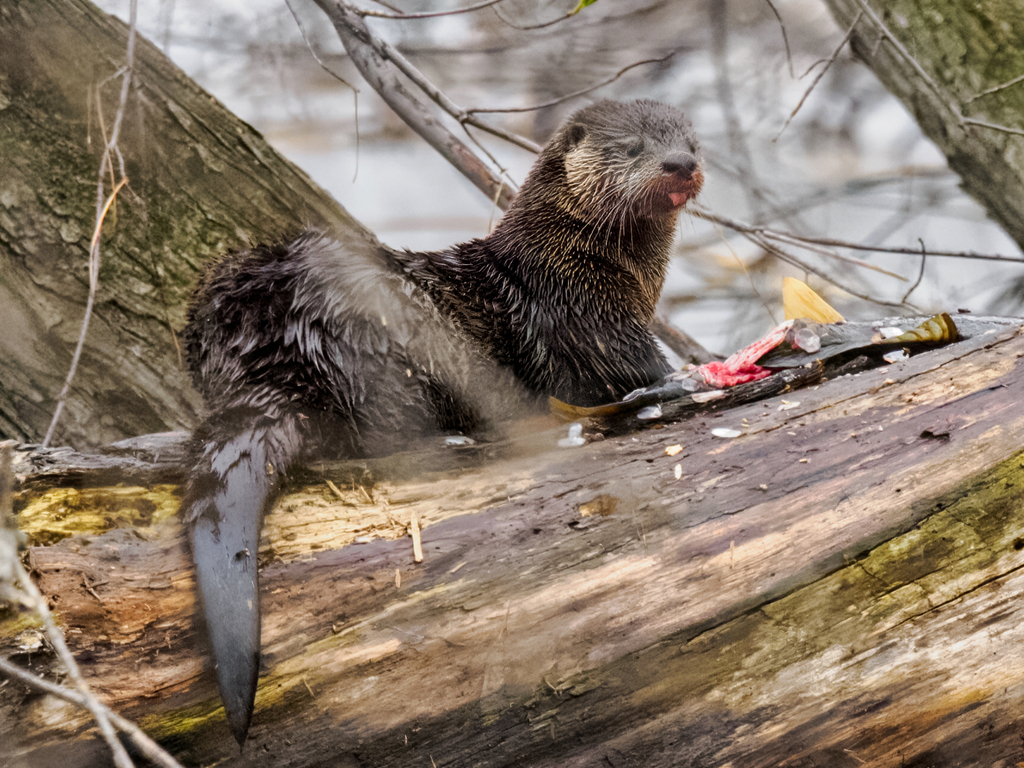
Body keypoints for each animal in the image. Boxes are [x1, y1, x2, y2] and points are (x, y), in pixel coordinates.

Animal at [179, 98, 702, 745]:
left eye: (692, 143)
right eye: (633, 147)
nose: (680, 164)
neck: (575, 257)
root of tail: (274, 354)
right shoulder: (590, 316)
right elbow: (633, 369)